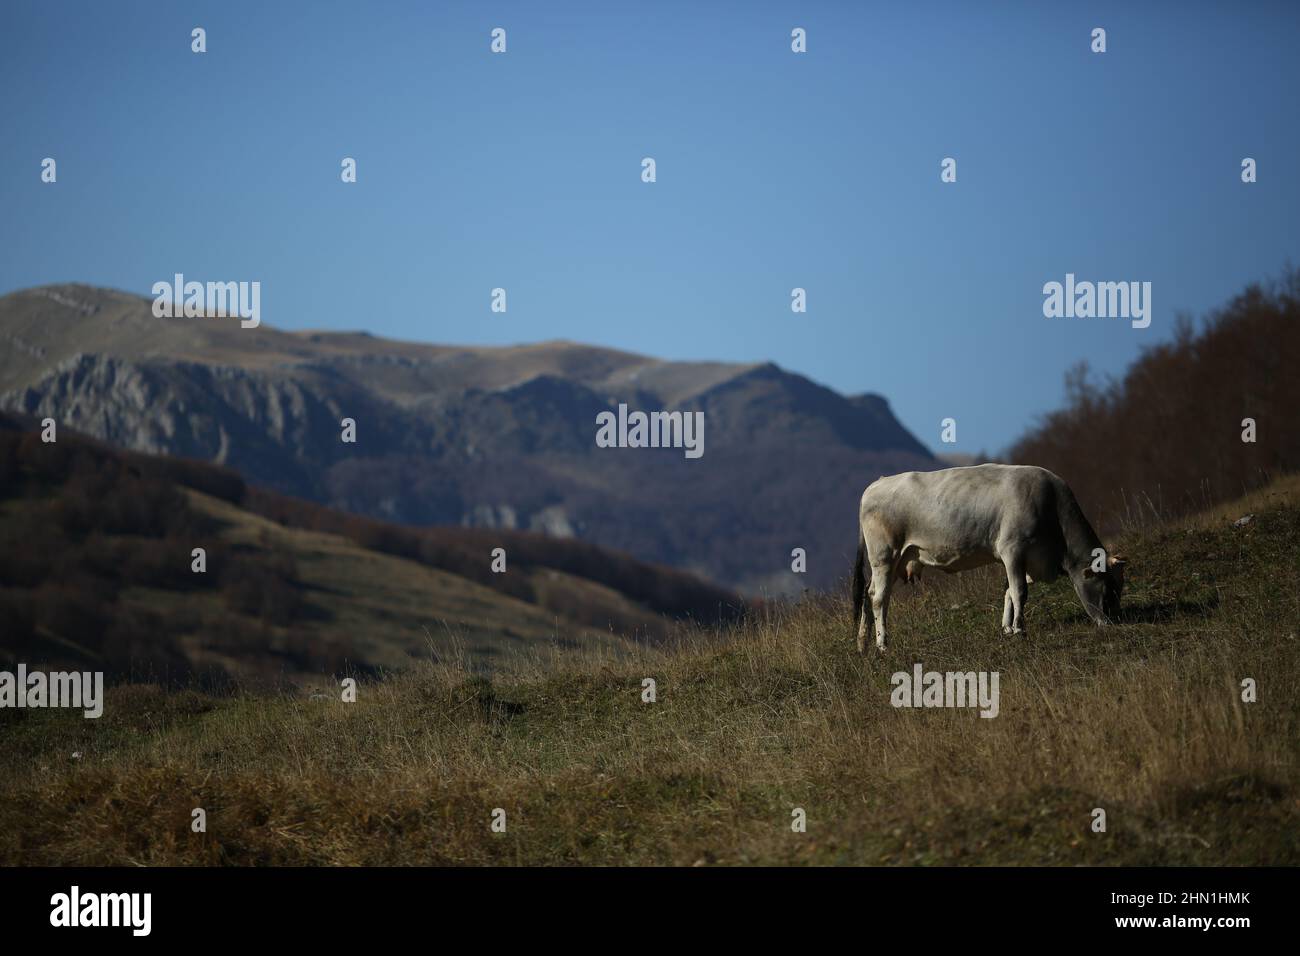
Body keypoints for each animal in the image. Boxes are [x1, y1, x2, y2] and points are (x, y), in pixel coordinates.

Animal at [851, 464, 1126, 652]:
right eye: (1107, 587)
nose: (1113, 622)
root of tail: (875, 485)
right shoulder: (1012, 549)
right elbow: (1019, 591)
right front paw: (1019, 629)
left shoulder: (1022, 559)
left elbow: (1008, 591)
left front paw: (1007, 628)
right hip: (884, 556)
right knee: (879, 598)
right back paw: (883, 644)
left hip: (892, 562)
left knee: (868, 592)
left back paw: (863, 643)